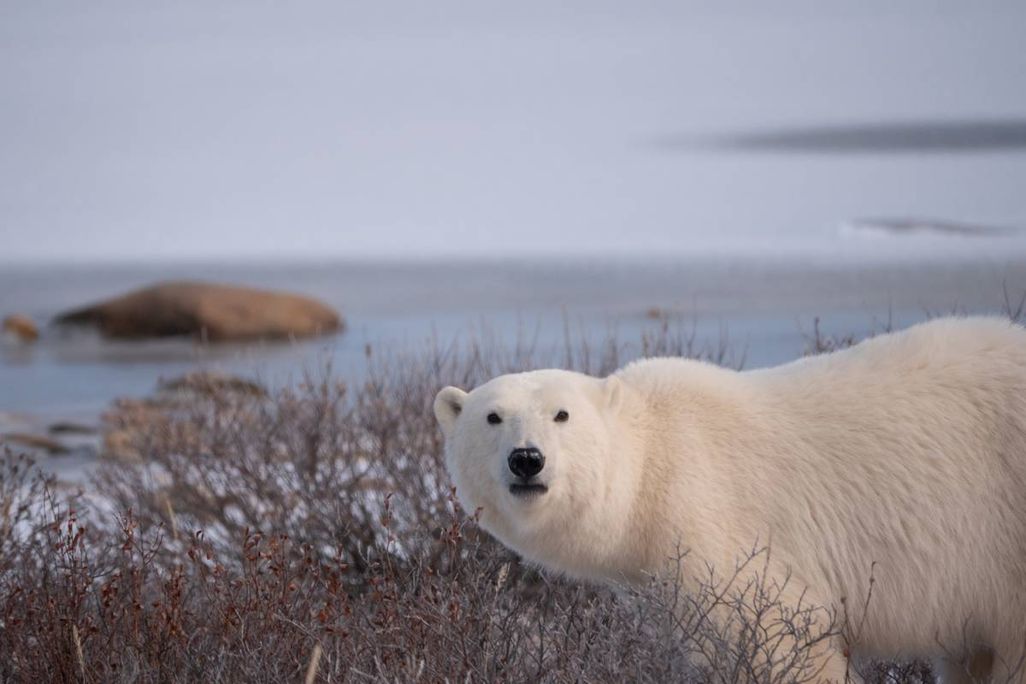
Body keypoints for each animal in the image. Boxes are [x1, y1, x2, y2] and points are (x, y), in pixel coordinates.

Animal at [434, 317, 1026, 683]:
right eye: (493, 417)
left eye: (562, 414)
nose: (527, 459)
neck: (655, 465)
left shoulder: (720, 530)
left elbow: (786, 642)